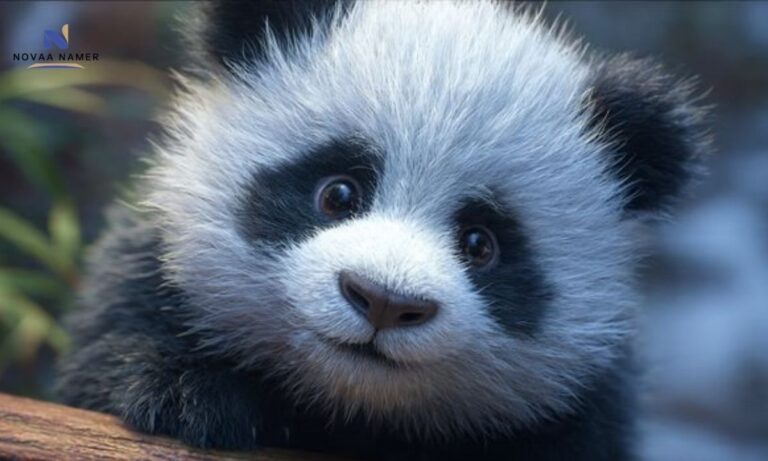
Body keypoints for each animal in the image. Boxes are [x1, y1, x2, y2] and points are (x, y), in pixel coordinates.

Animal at [56, 1, 710, 460]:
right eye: (339, 192)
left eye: (481, 243)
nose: (383, 301)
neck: (346, 406)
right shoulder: (156, 271)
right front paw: (186, 397)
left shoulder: (585, 405)